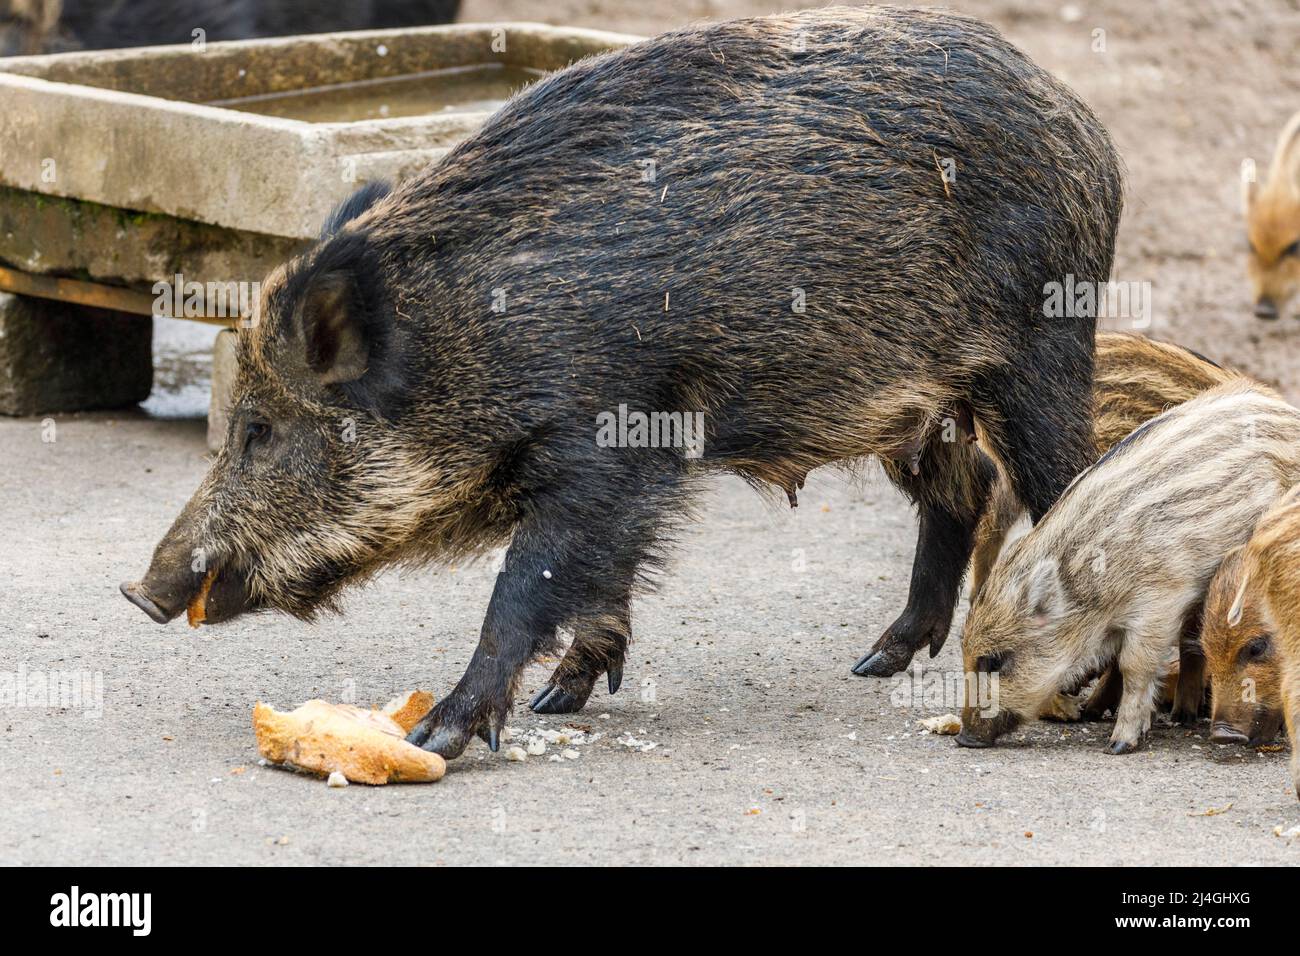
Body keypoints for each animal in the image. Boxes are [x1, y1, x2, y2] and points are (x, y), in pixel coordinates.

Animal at [121, 6, 1123, 758]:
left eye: (260, 429)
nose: (141, 593)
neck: (471, 337)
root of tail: (1085, 125)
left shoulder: (607, 442)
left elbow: (528, 585)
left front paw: (441, 736)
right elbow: (602, 579)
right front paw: (563, 699)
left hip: (1039, 350)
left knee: (1064, 482)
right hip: (915, 401)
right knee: (965, 488)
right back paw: (875, 662)